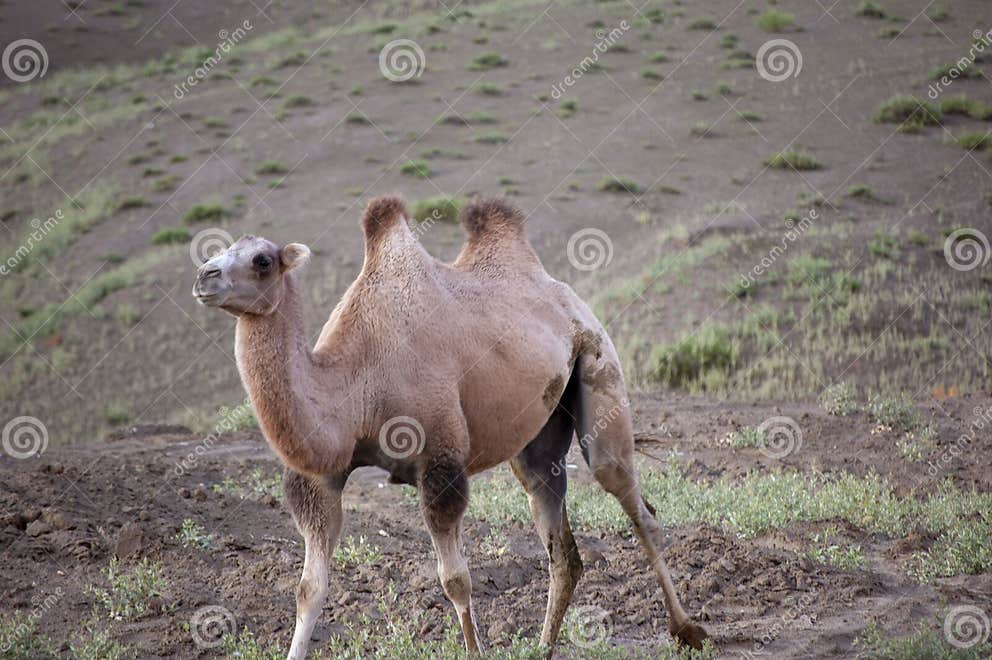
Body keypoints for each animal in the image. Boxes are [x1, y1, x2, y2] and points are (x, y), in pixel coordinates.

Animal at [191, 196, 709, 658]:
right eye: (222, 249)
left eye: (262, 260)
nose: (203, 276)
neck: (359, 380)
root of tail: (568, 298)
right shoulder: (322, 475)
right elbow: (309, 588)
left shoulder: (440, 460)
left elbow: (456, 579)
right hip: (537, 440)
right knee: (560, 542)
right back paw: (544, 646)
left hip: (601, 366)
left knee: (631, 499)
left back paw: (688, 630)